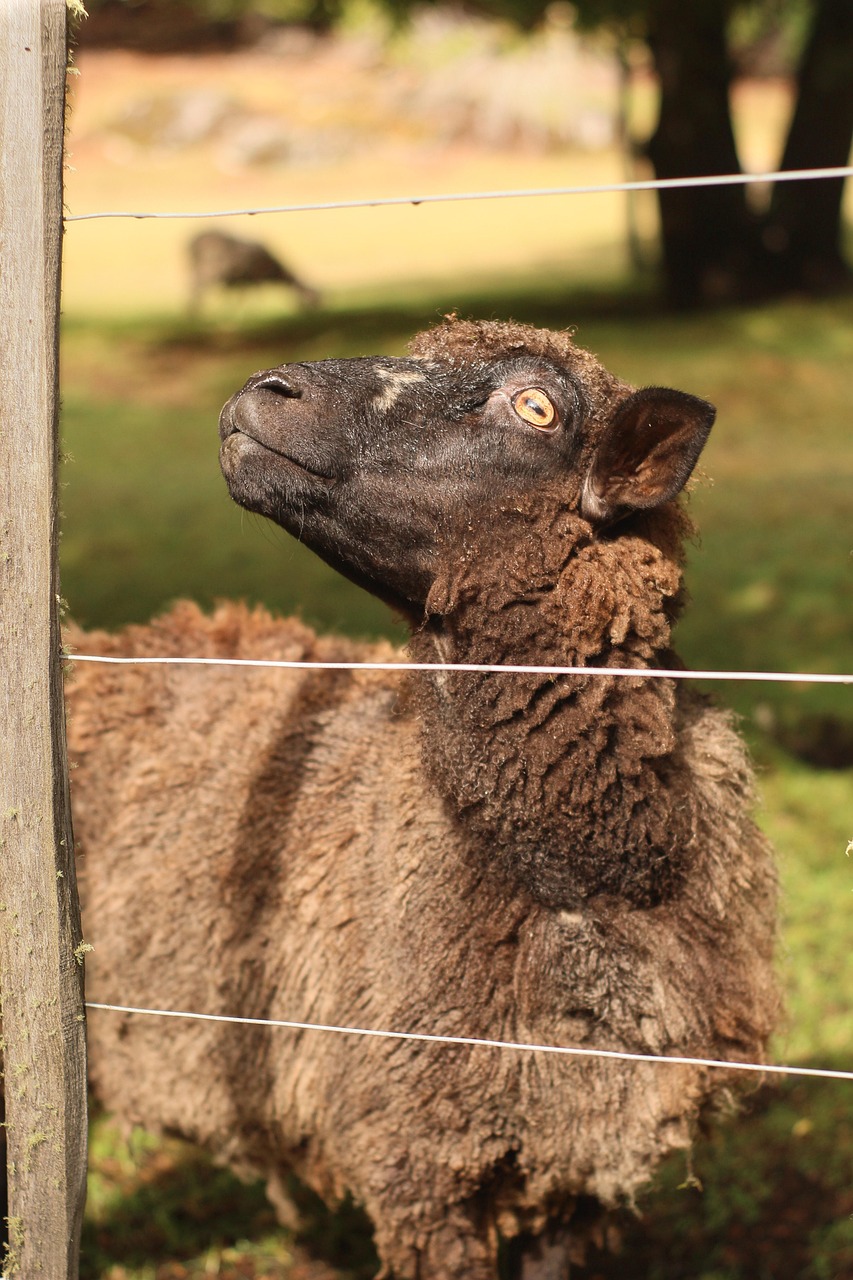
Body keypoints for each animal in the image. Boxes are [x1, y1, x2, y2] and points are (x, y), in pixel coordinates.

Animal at [188, 228, 321, 313]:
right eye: (311, 298)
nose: (315, 313)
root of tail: (191, 242)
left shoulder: (242, 280)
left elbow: (240, 295)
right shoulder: (256, 277)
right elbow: (257, 294)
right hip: (209, 269)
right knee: (197, 285)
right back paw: (194, 310)